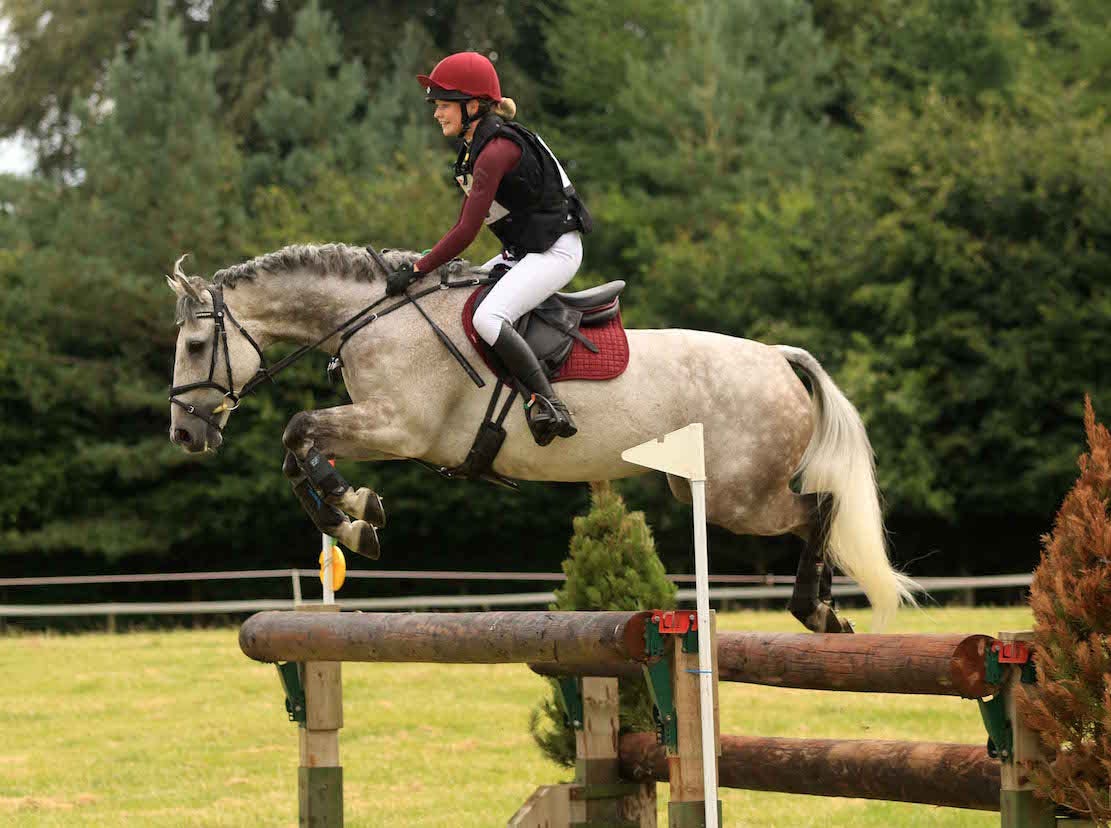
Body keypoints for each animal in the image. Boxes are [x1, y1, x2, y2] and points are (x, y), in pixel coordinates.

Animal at [166, 242, 918, 633]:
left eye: (197, 345)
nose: (183, 433)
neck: (377, 319)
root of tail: (776, 357)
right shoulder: (388, 429)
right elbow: (299, 449)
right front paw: (355, 515)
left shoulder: (399, 426)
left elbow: (298, 434)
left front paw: (354, 515)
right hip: (716, 490)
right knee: (817, 514)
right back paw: (825, 607)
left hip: (740, 496)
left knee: (818, 508)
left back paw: (813, 609)